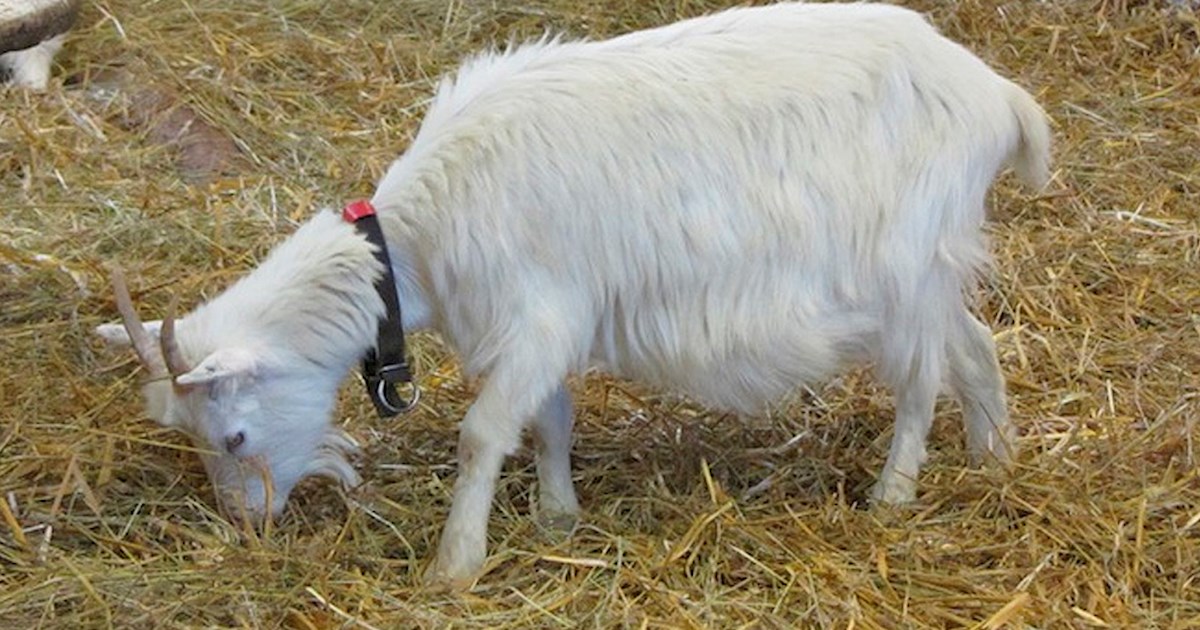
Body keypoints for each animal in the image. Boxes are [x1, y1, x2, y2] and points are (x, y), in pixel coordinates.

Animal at [97, 2, 1051, 588]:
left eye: (234, 433)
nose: (246, 524)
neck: (419, 242)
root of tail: (1000, 96)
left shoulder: (539, 315)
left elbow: (483, 432)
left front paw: (456, 562)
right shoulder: (542, 327)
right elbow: (547, 419)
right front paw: (558, 515)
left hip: (902, 264)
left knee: (921, 380)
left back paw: (894, 491)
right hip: (929, 270)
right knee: (973, 346)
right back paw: (994, 459)